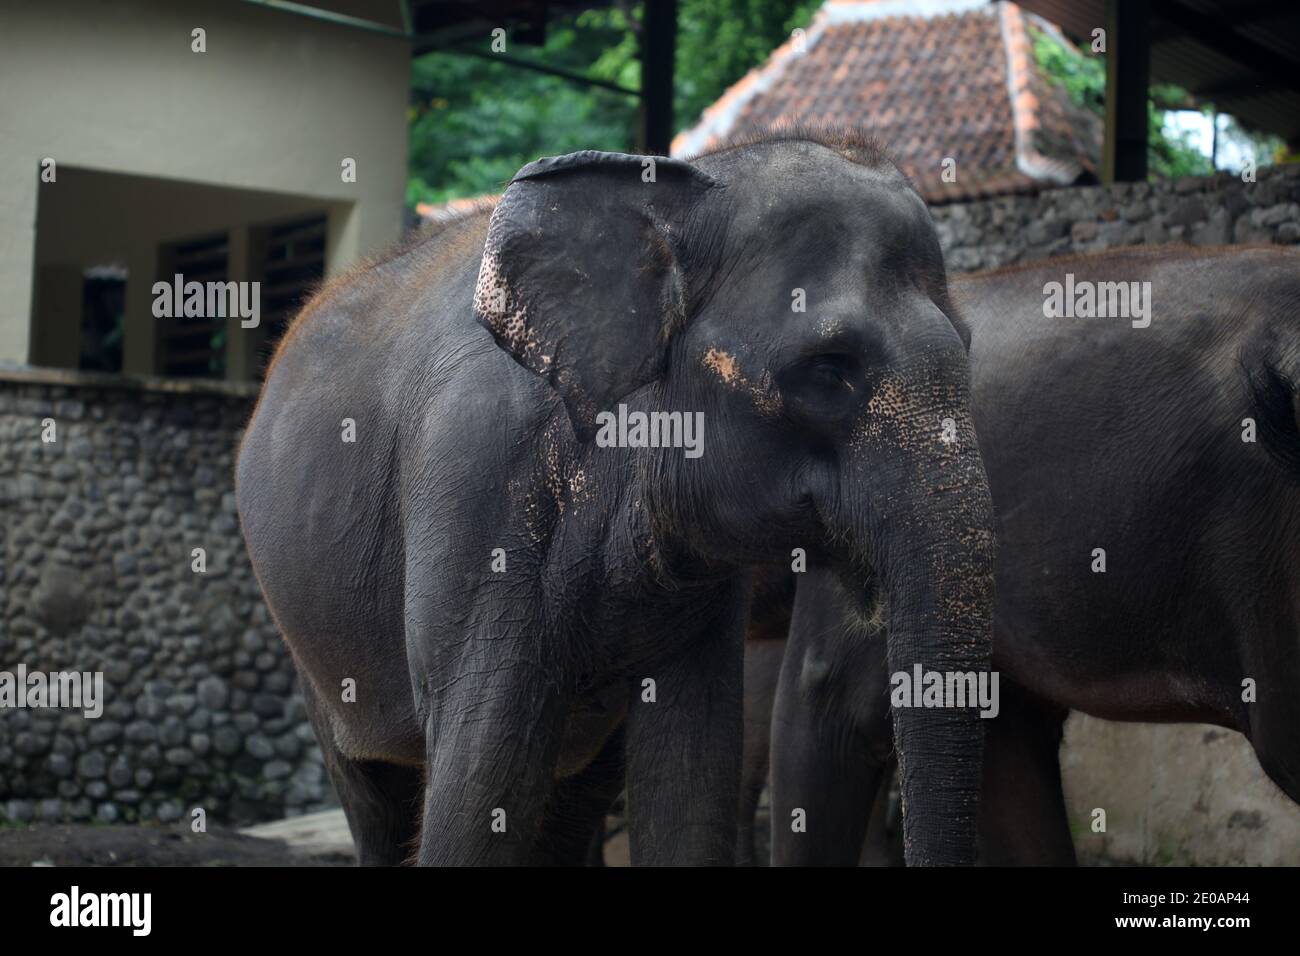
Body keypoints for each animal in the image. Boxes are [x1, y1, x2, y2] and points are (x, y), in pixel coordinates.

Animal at [235, 128, 997, 866]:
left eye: (967, 350)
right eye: (830, 371)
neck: (682, 187)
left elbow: (691, 776)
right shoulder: (477, 486)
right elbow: (481, 783)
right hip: (310, 637)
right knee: (377, 800)